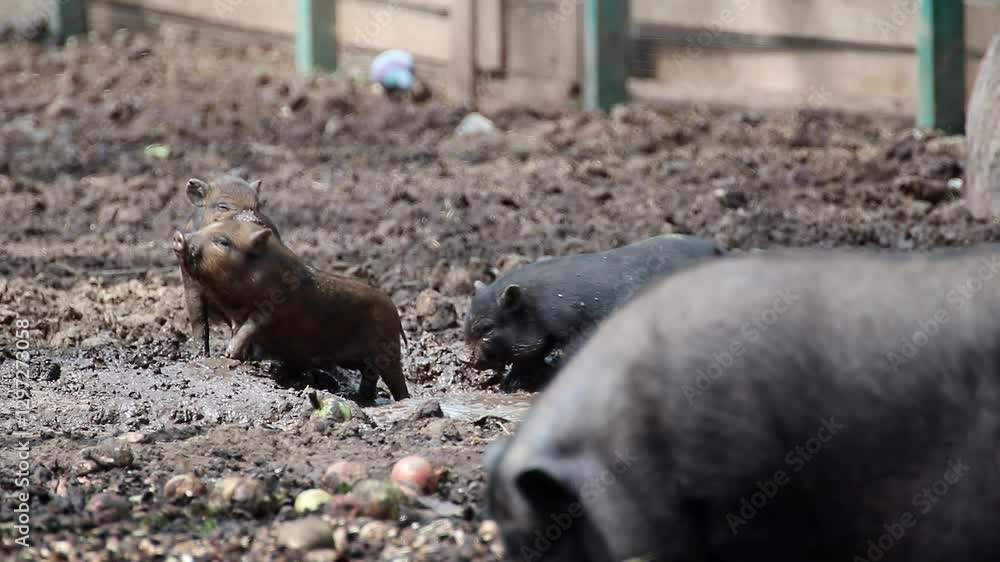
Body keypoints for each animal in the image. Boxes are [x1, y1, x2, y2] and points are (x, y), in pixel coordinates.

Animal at [173, 219, 409, 402]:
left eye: (222, 241)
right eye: (207, 227)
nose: (179, 235)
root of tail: (396, 315)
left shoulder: (271, 309)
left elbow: (249, 329)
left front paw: (229, 355)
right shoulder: (235, 316)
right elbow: (238, 331)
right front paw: (243, 358)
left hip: (387, 350)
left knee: (395, 379)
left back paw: (402, 400)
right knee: (370, 376)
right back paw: (359, 398)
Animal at [181, 175, 280, 356]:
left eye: (257, 206)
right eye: (223, 206)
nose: (254, 223)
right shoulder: (190, 285)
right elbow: (199, 321)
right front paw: (199, 356)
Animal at [465, 234, 726, 391]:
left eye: (487, 328)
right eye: (466, 329)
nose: (468, 360)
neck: (538, 309)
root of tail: (718, 248)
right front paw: (507, 386)